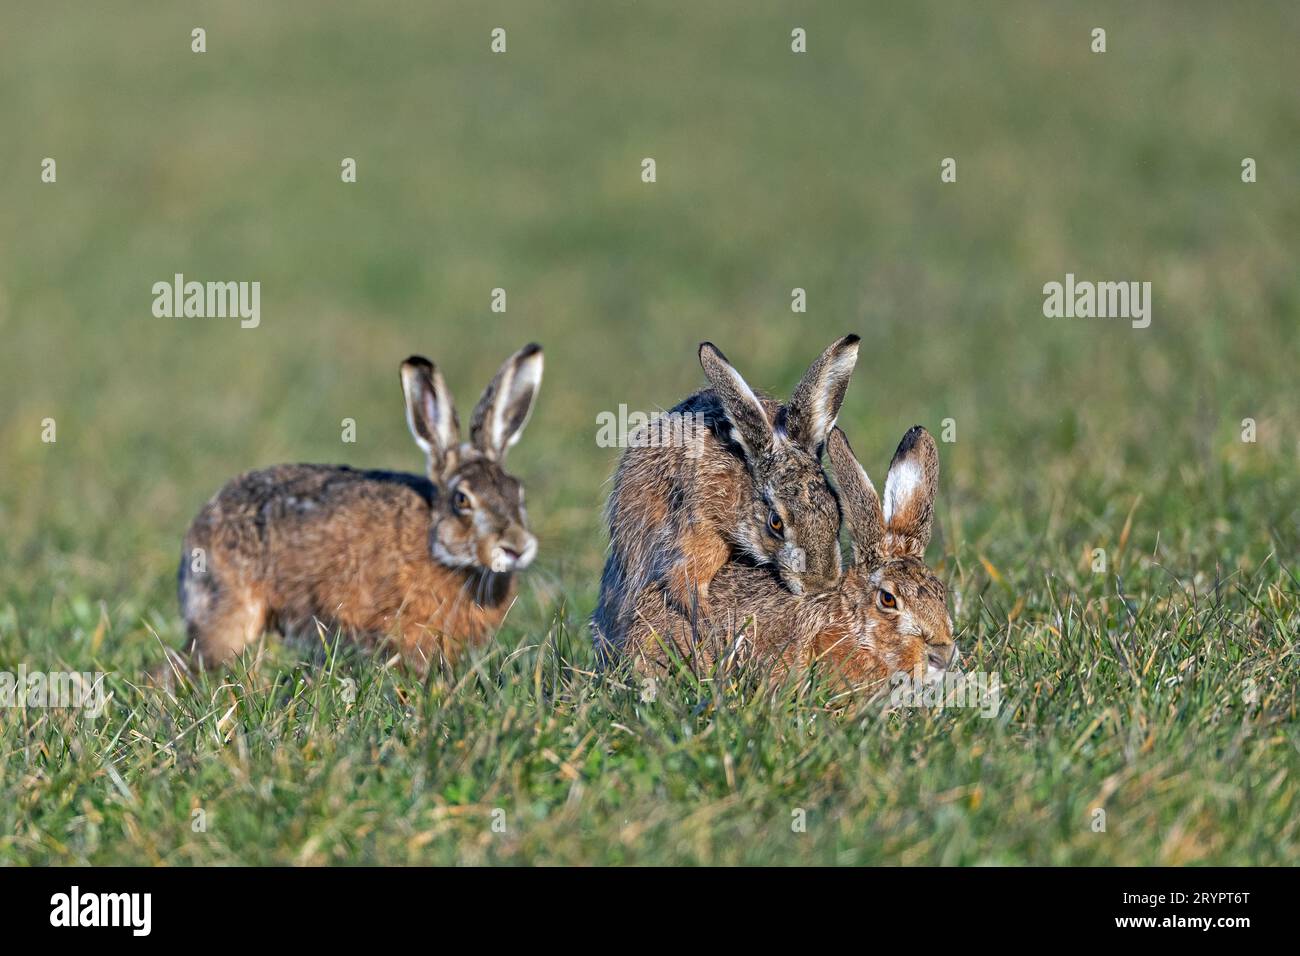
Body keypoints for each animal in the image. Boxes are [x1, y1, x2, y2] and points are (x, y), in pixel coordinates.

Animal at [176, 343, 544, 673]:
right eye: (462, 500)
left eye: (518, 492)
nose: (516, 548)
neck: (440, 549)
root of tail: (200, 525)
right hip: (232, 614)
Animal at [591, 335, 861, 658]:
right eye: (775, 523)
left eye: (837, 512)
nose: (820, 584)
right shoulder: (695, 534)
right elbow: (684, 586)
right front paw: (715, 636)